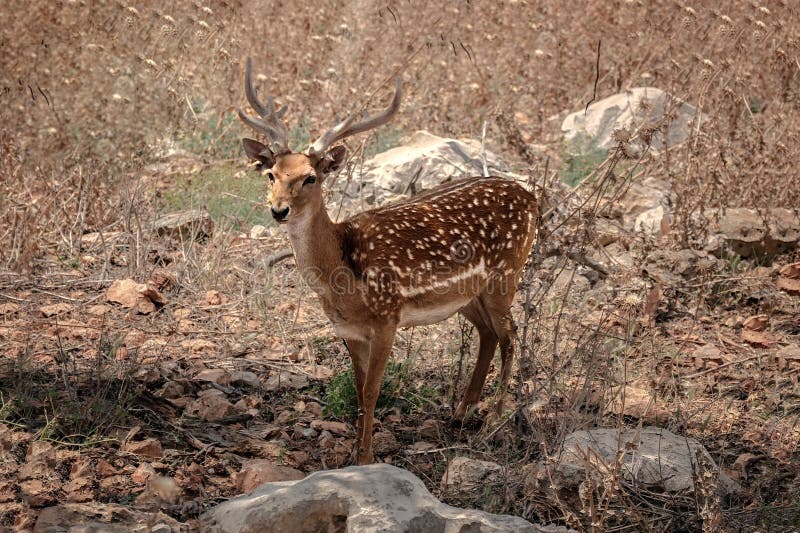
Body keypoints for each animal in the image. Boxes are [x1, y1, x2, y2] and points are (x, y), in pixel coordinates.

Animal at [238, 58, 539, 465]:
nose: (278, 210)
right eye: (271, 174)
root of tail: (532, 196)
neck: (344, 272)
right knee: (489, 333)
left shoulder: (387, 318)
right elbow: (356, 388)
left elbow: (371, 391)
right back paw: (461, 414)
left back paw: (493, 421)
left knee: (510, 335)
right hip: (466, 295)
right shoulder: (348, 330)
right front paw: (353, 454)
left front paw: (365, 458)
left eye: (311, 177)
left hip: (506, 272)